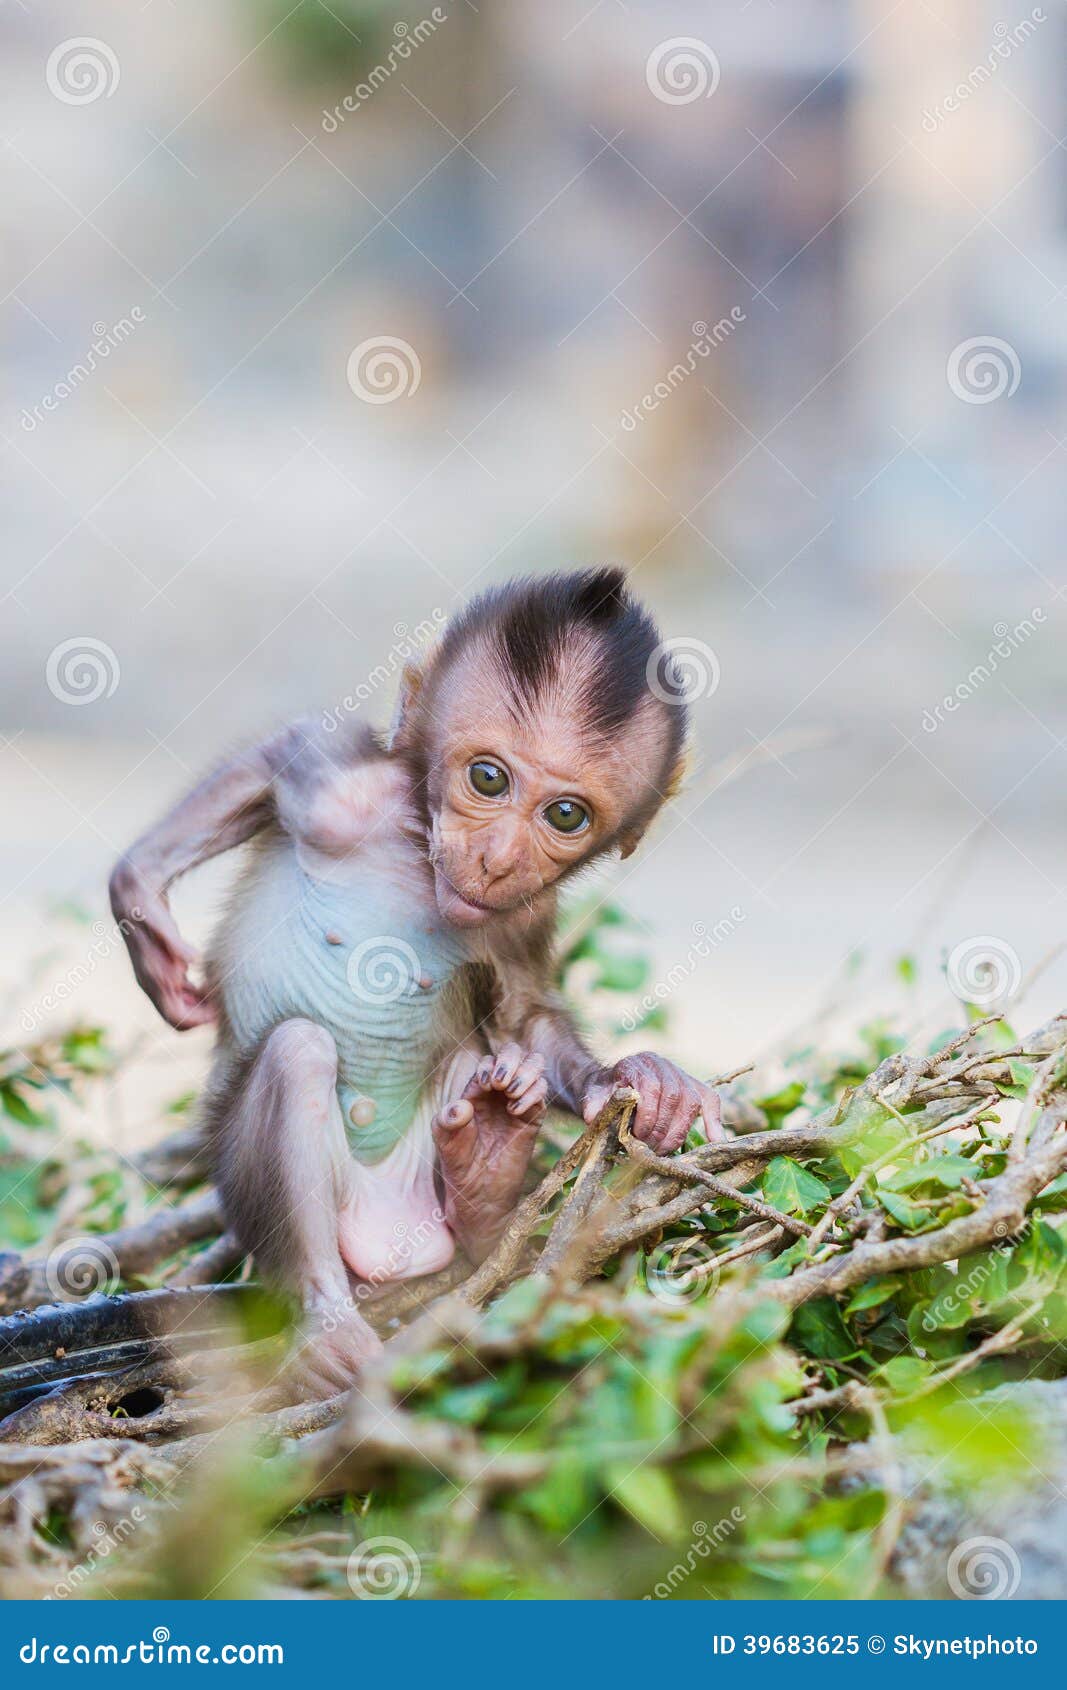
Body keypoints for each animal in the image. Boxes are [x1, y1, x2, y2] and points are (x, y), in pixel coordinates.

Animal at [110, 569, 722, 1395]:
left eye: (565, 815)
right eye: (487, 778)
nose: (498, 859)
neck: (416, 849)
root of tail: (387, 1237)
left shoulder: (525, 913)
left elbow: (526, 1017)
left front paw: (639, 1081)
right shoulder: (339, 795)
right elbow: (280, 753)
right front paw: (141, 903)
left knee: (480, 1067)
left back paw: (487, 1176)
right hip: (250, 1192)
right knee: (297, 1054)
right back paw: (325, 1317)